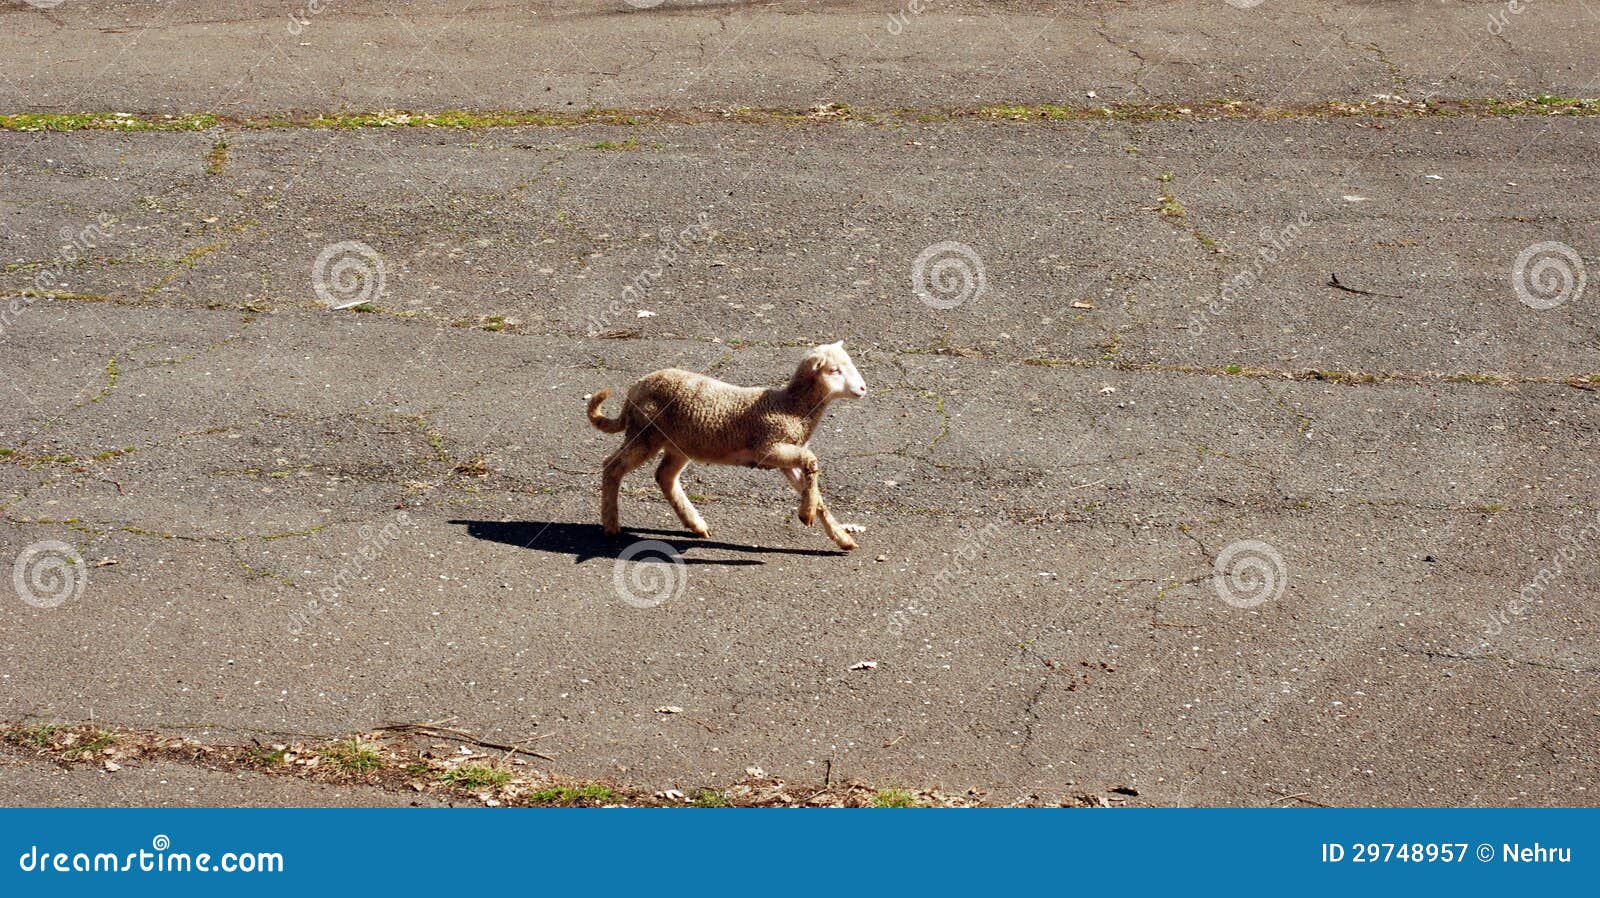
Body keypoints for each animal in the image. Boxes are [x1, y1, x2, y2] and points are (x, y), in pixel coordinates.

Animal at [585, 341, 867, 550]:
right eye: (835, 370)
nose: (864, 388)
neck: (792, 408)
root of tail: (635, 388)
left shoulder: (785, 457)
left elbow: (816, 490)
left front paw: (842, 537)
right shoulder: (767, 447)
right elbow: (811, 460)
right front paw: (806, 515)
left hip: (681, 443)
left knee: (664, 476)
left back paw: (697, 525)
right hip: (645, 434)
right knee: (612, 466)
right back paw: (611, 524)